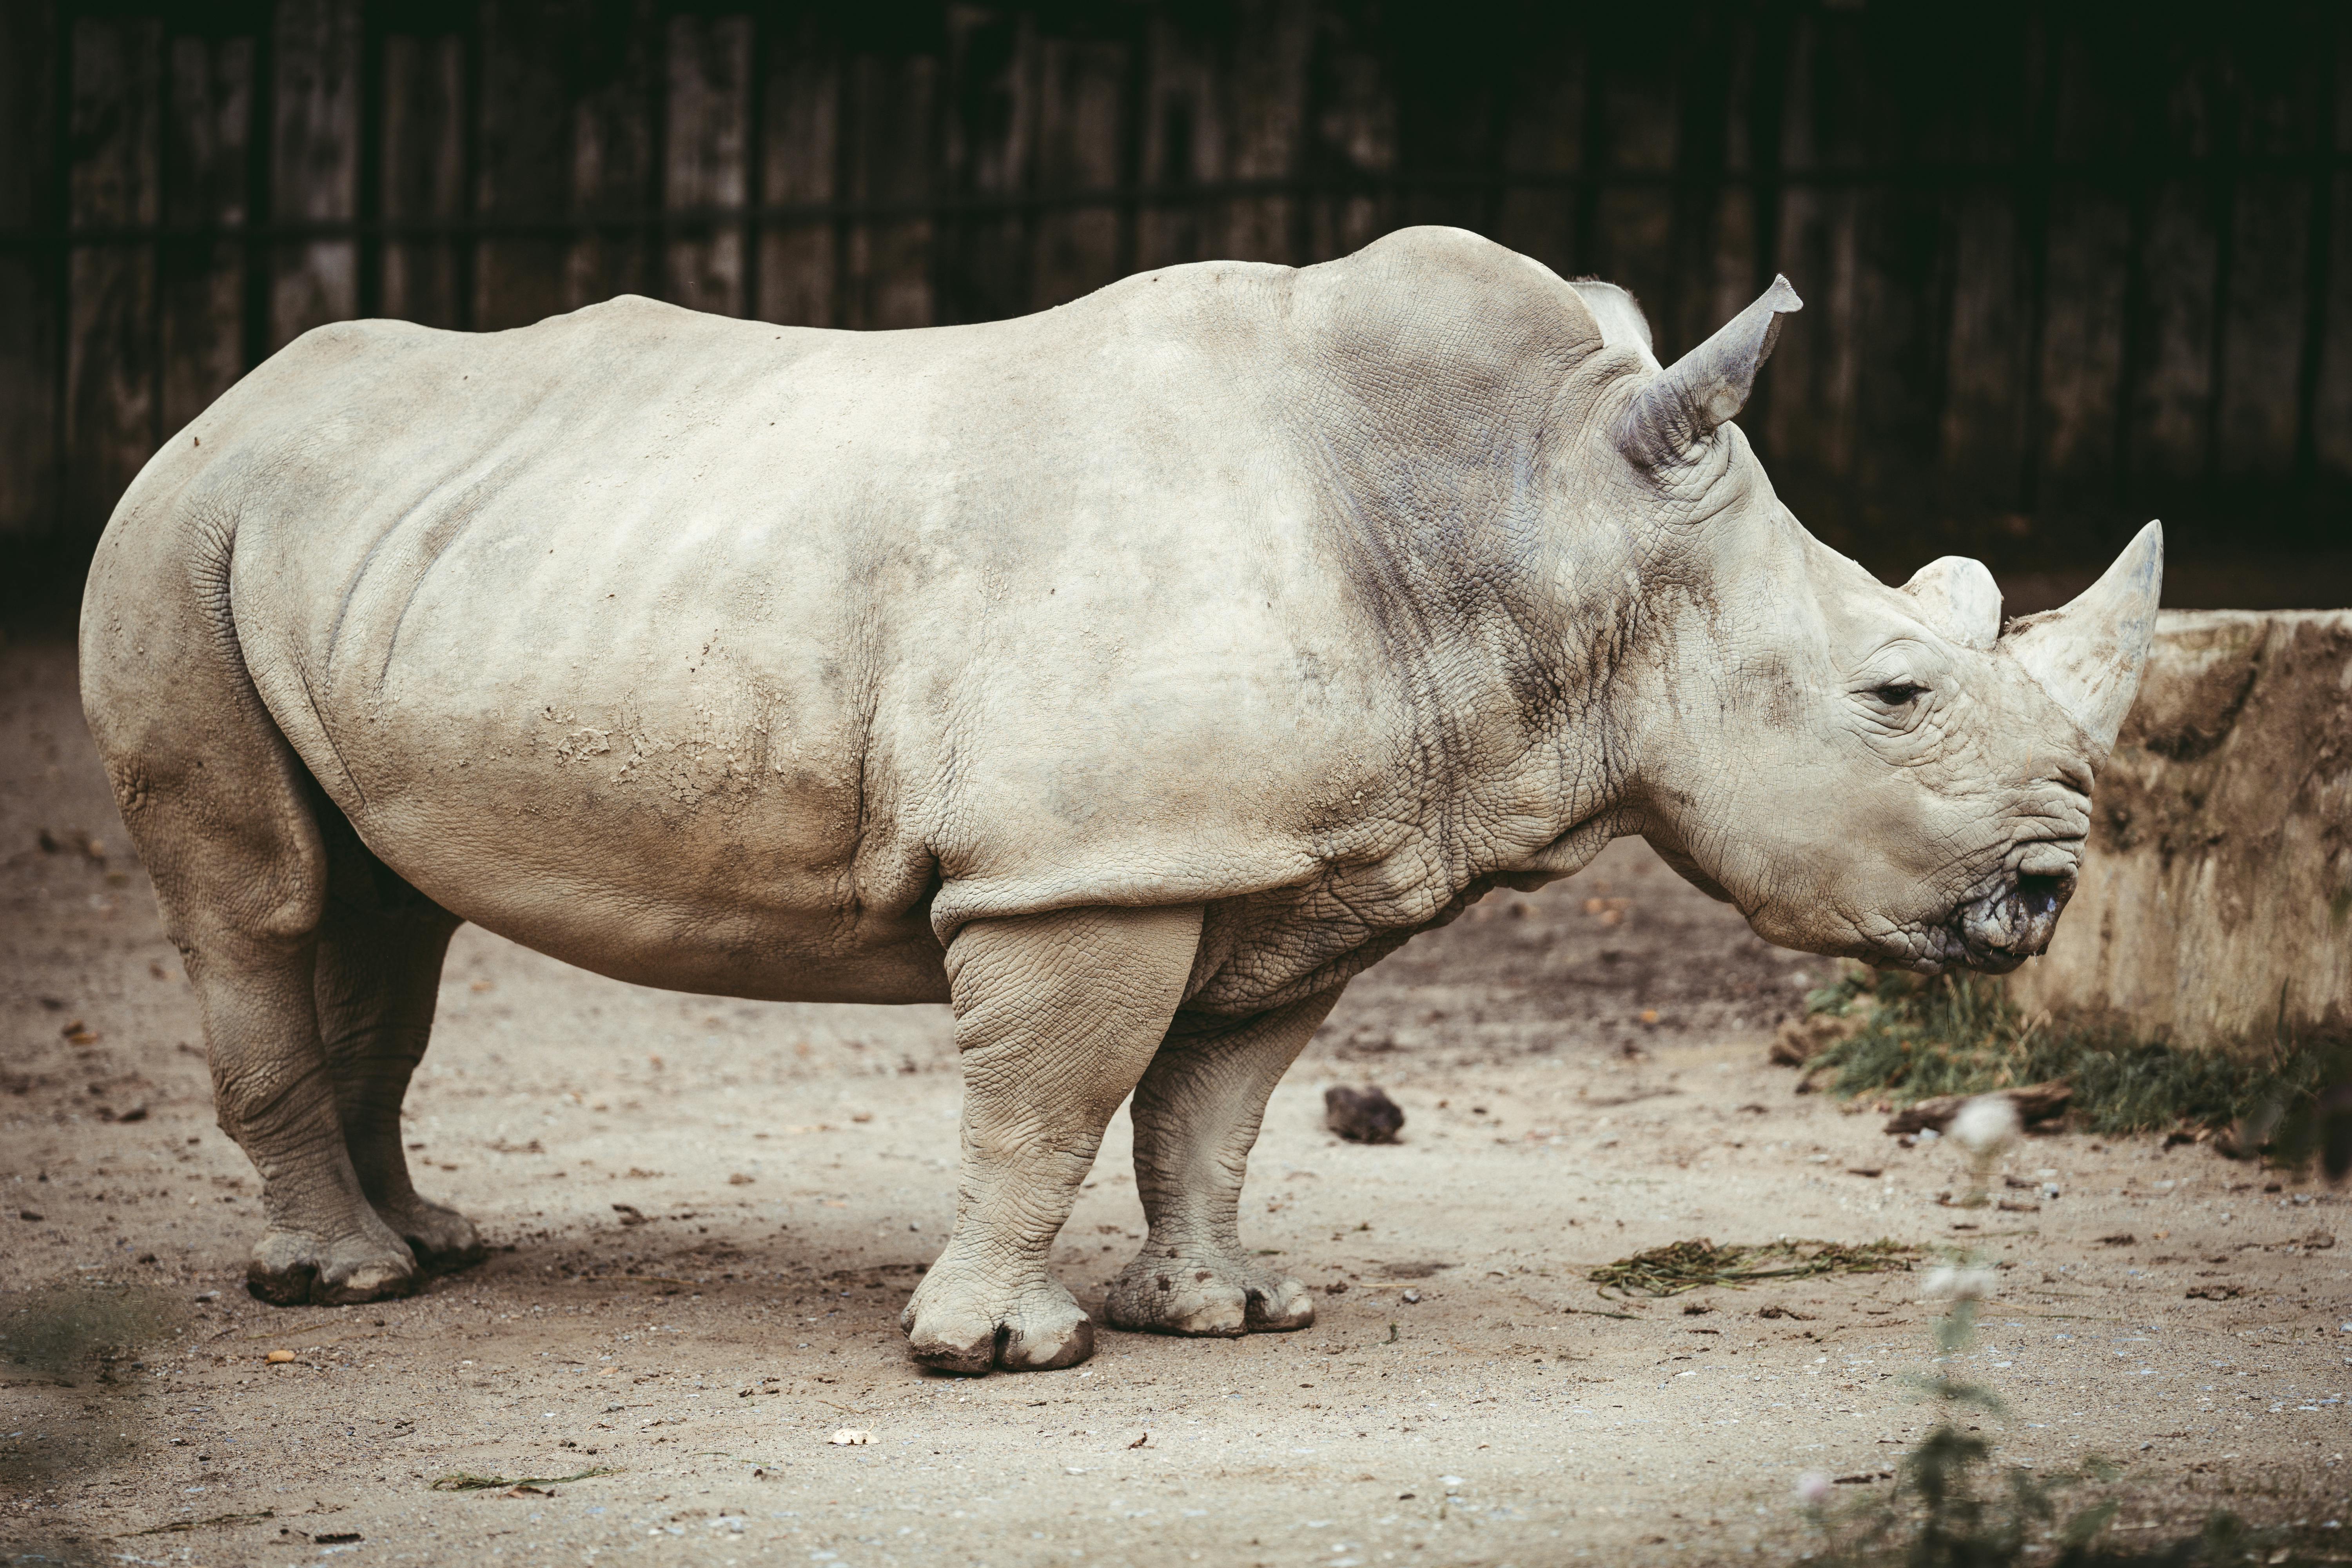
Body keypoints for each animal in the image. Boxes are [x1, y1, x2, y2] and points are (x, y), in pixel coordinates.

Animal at [80, 226, 2160, 1374]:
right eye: (1893, 692)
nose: (2053, 886)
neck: (1525, 521)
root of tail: (217, 401)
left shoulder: (1298, 862)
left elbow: (1214, 1106)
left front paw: (1223, 1313)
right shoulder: (1084, 866)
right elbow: (1051, 1101)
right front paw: (997, 1350)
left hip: (359, 540)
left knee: (388, 907)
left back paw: (431, 1245)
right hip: (184, 526)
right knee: (262, 900)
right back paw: (343, 1281)